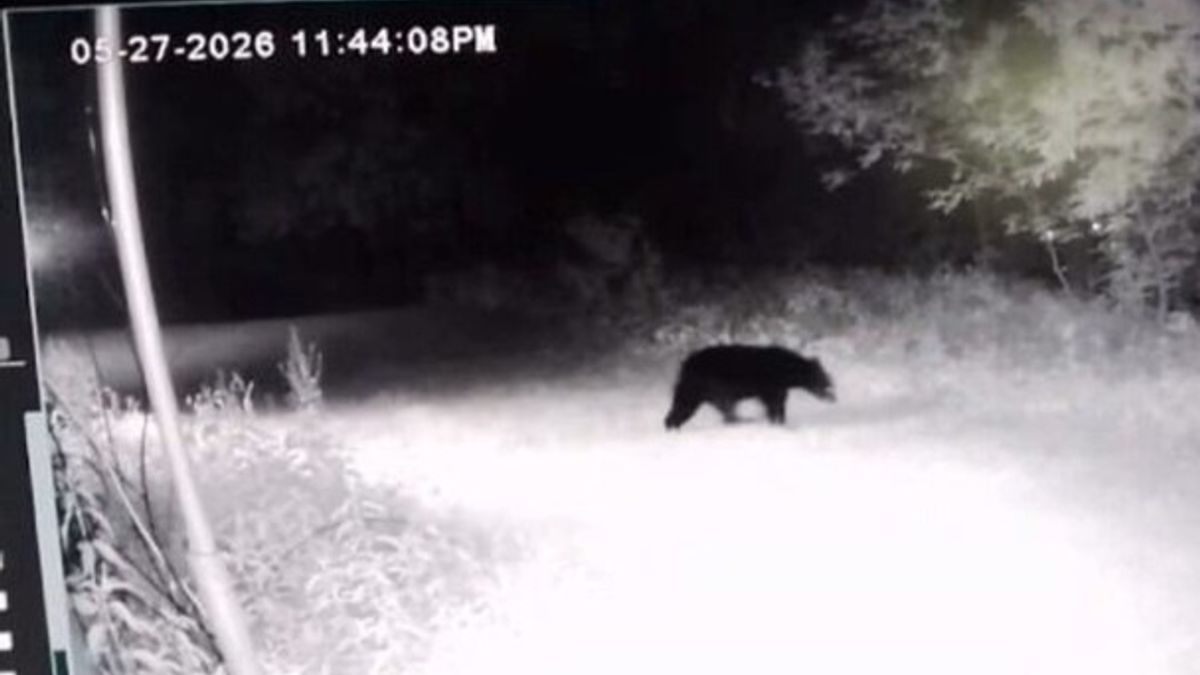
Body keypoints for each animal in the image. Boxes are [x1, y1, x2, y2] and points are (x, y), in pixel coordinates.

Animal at [664, 344, 835, 430]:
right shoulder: (770, 387)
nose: (832, 387)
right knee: (720, 407)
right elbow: (773, 405)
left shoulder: (779, 388)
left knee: (685, 405)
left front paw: (780, 422)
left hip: (699, 390)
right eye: (822, 376)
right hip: (709, 386)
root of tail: (686, 365)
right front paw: (775, 422)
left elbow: (779, 405)